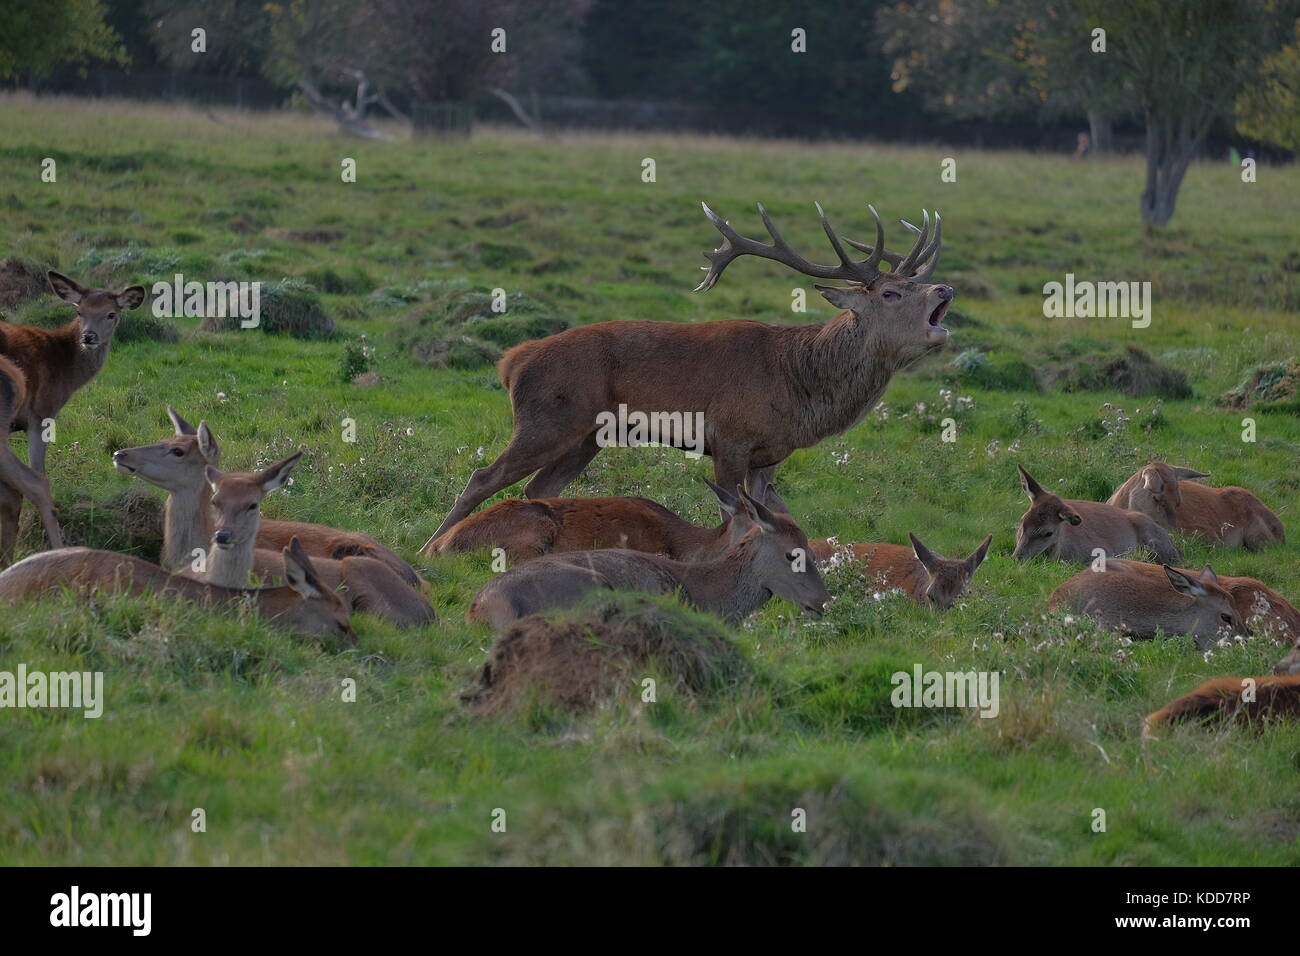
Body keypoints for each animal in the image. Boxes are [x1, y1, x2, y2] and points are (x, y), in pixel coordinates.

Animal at [0, 271, 145, 565]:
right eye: (79, 311)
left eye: (111, 314)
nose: (89, 336)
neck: (66, 371)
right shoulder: (42, 411)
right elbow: (39, 475)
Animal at [426, 201, 951, 545]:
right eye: (890, 294)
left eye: (918, 283)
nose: (945, 288)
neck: (798, 384)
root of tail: (511, 362)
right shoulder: (731, 438)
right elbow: (735, 514)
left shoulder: (771, 456)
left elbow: (779, 513)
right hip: (547, 419)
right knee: (484, 477)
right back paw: (432, 548)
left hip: (585, 438)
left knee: (538, 488)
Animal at [1107, 461, 1284, 550]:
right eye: (1157, 498)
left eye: (1178, 502)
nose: (1170, 534)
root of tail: (1281, 529)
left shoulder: (1205, 532)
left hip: (1258, 535)